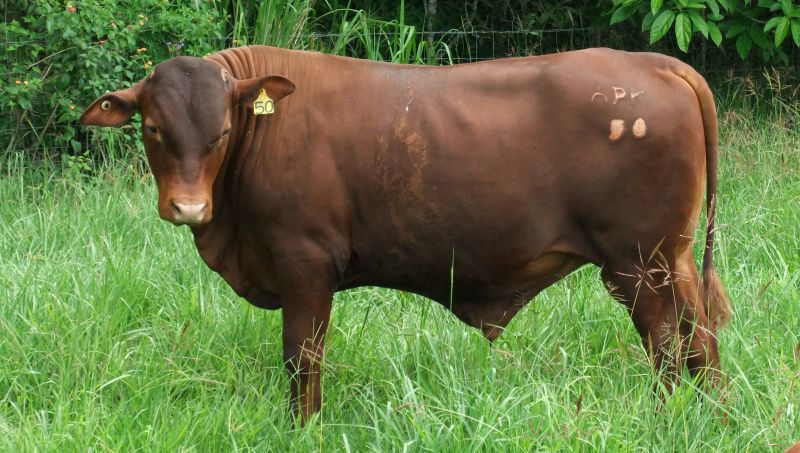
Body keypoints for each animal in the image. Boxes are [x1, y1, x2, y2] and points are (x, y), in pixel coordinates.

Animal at [81, 45, 732, 422]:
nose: (188, 207)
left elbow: (302, 356)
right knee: (700, 338)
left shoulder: (304, 261)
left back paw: (667, 419)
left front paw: (305, 428)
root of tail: (657, 62)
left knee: (665, 344)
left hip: (636, 261)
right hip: (671, 256)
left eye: (220, 132)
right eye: (155, 129)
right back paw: (711, 417)